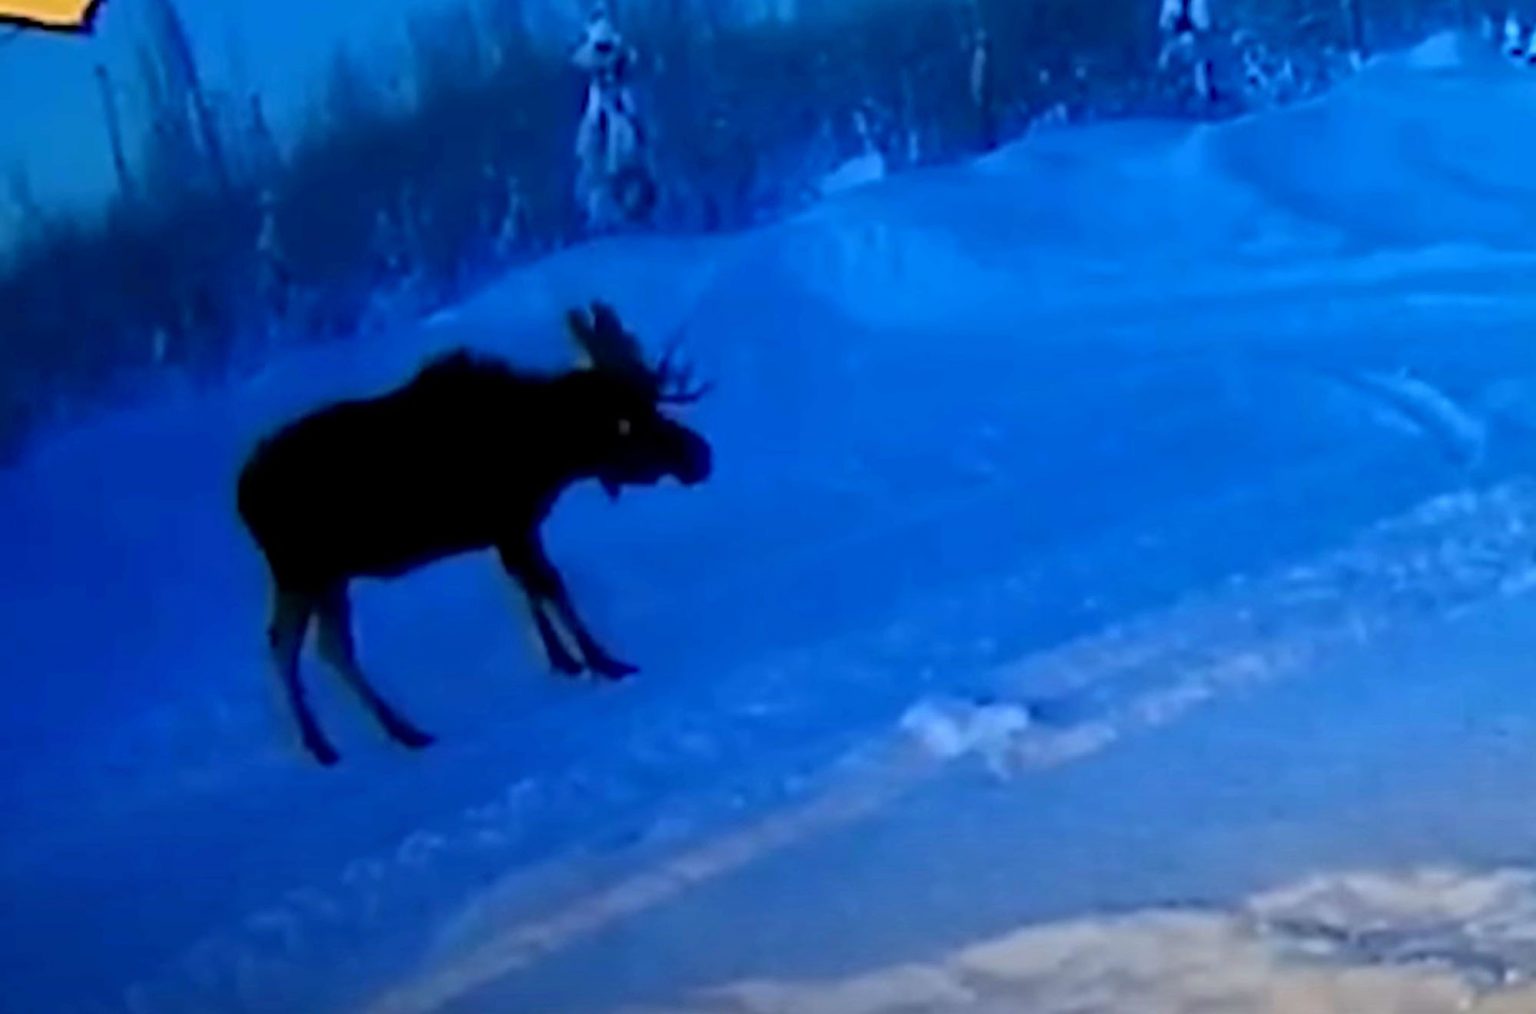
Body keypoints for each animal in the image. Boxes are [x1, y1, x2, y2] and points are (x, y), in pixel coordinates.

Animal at [236, 301, 713, 766]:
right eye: (631, 421)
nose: (700, 454)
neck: (547, 451)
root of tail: (242, 496)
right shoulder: (511, 524)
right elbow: (549, 585)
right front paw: (604, 661)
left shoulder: (510, 530)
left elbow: (527, 587)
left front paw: (564, 660)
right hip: (304, 572)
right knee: (291, 647)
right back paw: (332, 743)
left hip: (328, 578)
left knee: (325, 646)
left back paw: (394, 732)